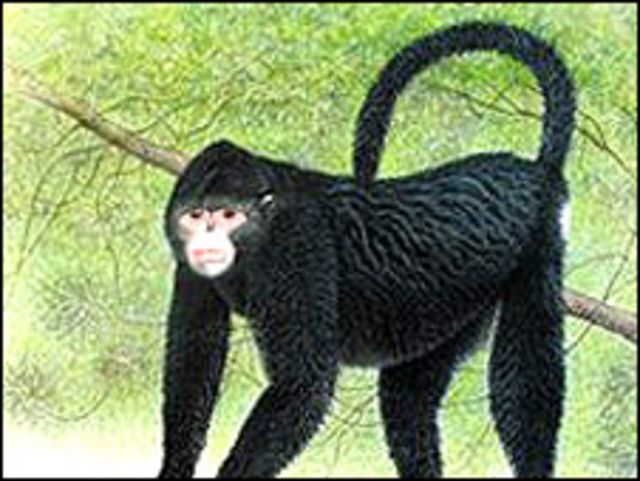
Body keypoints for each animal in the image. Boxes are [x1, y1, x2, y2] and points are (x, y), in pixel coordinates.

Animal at [159, 21, 575, 478]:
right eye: (196, 215)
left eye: (229, 215)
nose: (208, 239)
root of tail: (535, 170)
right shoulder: (189, 265)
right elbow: (194, 363)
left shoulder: (298, 243)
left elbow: (304, 384)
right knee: (405, 395)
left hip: (540, 244)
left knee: (526, 376)